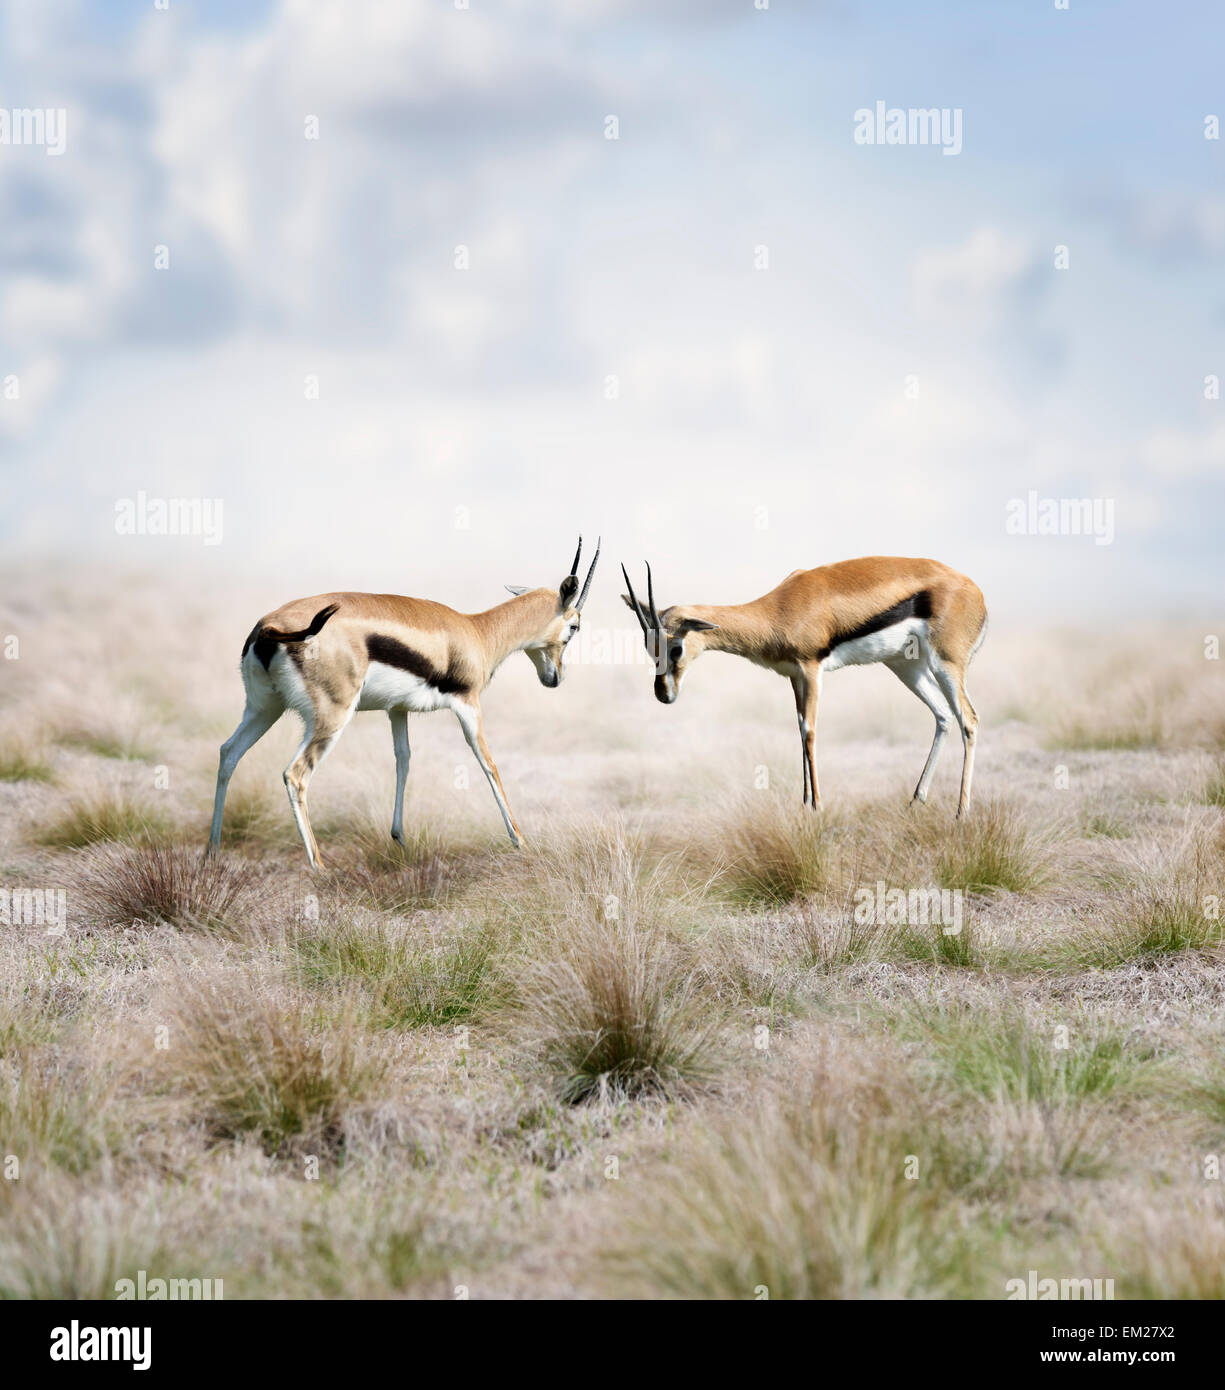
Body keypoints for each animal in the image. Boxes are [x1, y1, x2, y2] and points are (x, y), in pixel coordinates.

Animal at [208, 538, 600, 867]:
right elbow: (488, 764)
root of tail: (268, 628)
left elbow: (403, 760)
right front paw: (520, 840)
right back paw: (319, 866)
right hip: (331, 716)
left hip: (264, 709)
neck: (476, 632)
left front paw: (399, 839)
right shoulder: (468, 705)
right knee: (295, 774)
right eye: (575, 626)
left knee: (228, 752)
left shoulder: (396, 710)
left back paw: (212, 851)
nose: (555, 677)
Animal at [621, 555, 987, 815]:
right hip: (906, 666)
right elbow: (799, 730)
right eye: (648, 647)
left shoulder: (811, 670)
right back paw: (915, 802)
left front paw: (819, 806)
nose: (664, 694)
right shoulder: (794, 677)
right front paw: (805, 803)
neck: (778, 610)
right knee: (943, 716)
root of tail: (976, 591)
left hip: (946, 665)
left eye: (676, 648)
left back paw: (961, 812)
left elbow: (810, 731)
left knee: (968, 719)